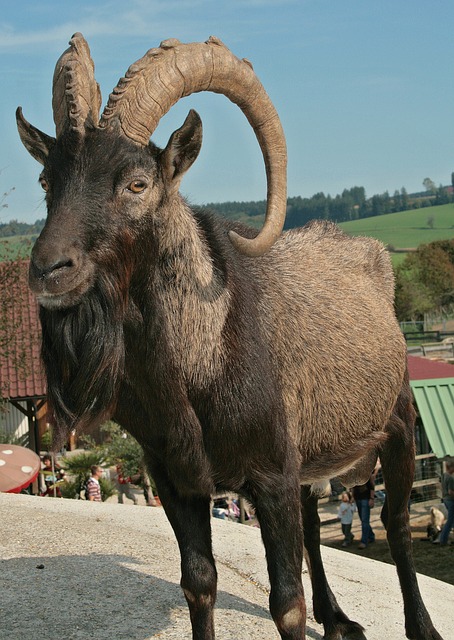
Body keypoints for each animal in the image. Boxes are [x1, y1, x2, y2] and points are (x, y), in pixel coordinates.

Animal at [17, 33, 443, 640]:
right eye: (47, 180)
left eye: (137, 183)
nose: (49, 269)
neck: (199, 363)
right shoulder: (178, 479)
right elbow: (199, 583)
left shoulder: (270, 474)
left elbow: (286, 604)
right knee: (314, 523)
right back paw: (338, 618)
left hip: (398, 420)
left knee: (397, 521)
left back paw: (419, 625)